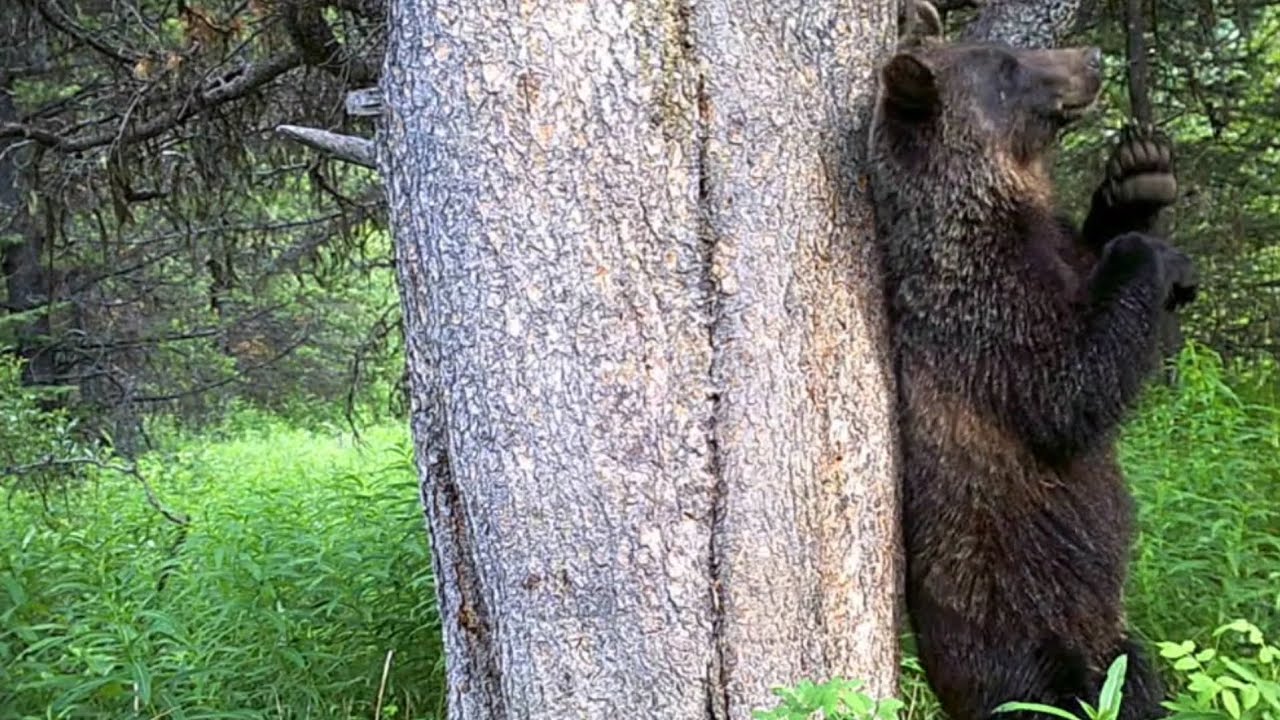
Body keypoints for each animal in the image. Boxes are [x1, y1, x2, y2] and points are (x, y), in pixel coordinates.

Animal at [867, 4, 1197, 720]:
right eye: (1008, 64)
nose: (1091, 57)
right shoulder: (983, 313)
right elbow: (1065, 389)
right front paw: (1150, 252)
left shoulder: (1058, 256)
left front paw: (1139, 176)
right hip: (1018, 629)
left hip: (1113, 634)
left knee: (1137, 676)